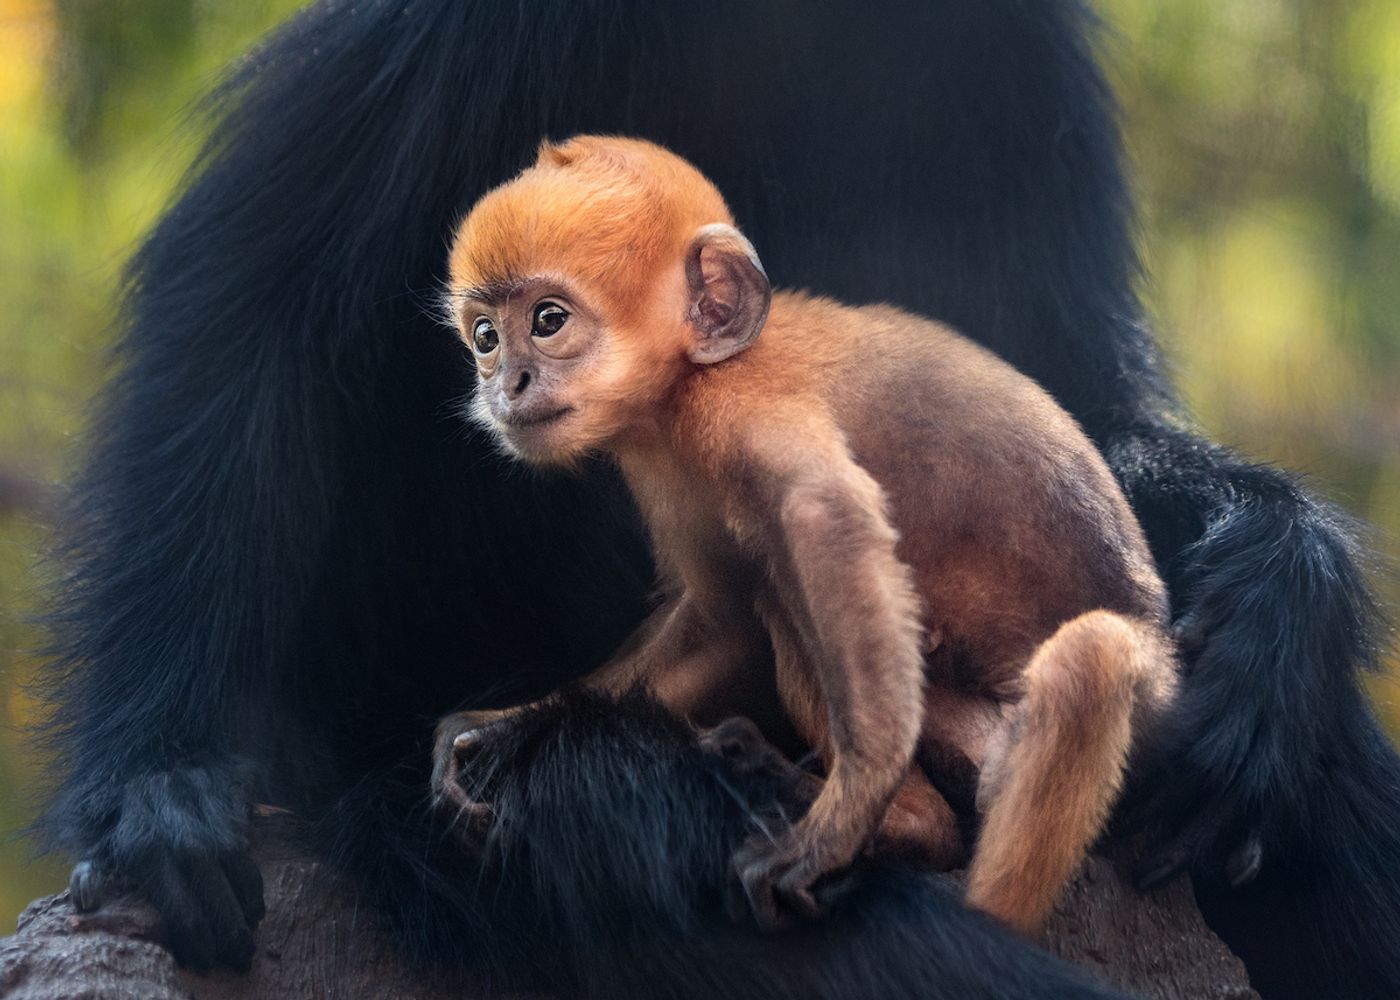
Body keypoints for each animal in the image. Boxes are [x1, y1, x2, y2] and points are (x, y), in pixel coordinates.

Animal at [431, 136, 1176, 929]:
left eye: (548, 321)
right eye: (485, 337)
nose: (503, 384)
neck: (690, 381)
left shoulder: (742, 408)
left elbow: (828, 516)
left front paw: (845, 815)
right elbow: (722, 616)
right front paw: (501, 725)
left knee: (1090, 656)